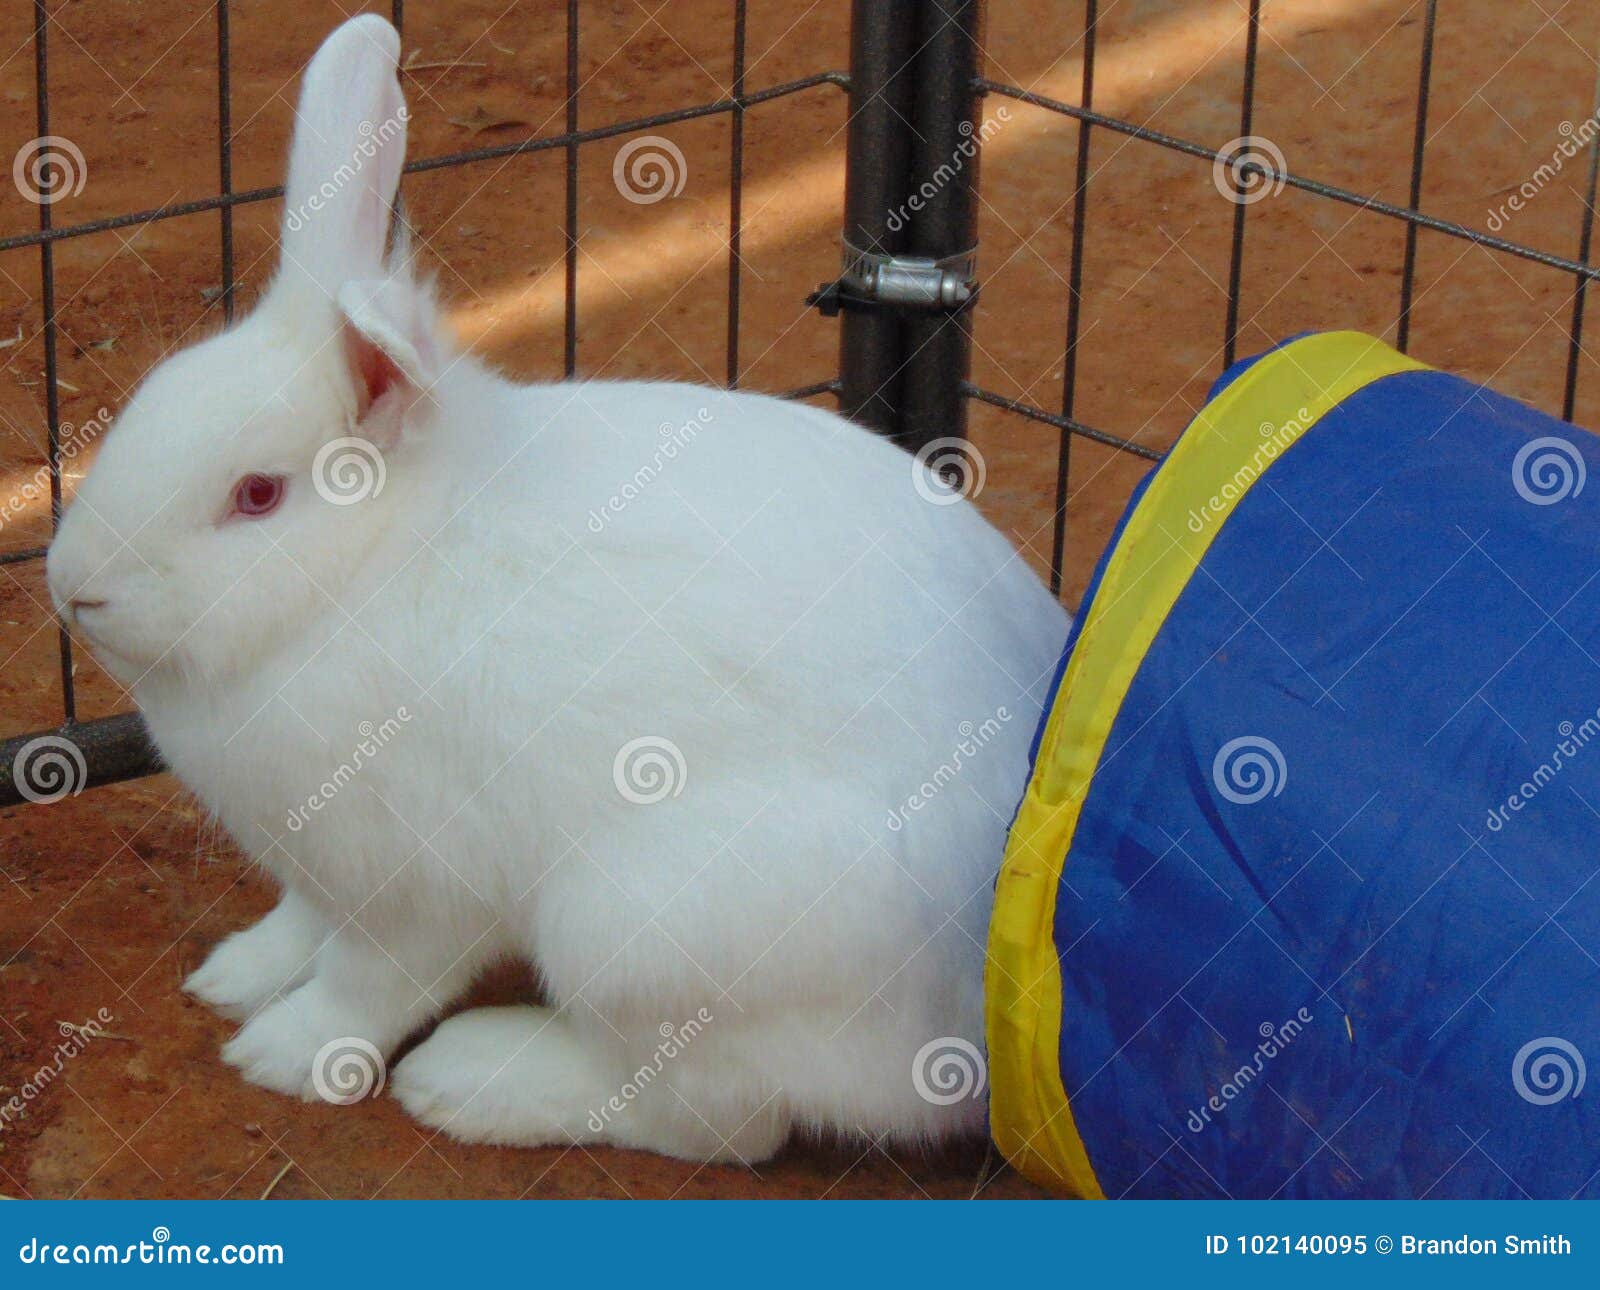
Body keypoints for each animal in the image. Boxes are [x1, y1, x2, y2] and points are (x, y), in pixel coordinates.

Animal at [45, 14, 1070, 1164]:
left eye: (256, 496)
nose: (73, 589)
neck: (378, 566)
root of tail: (983, 1037)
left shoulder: (416, 885)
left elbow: (366, 985)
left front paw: (278, 1054)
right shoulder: (322, 871)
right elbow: (301, 927)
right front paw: (231, 980)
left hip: (635, 929)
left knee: (716, 1116)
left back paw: (468, 1080)